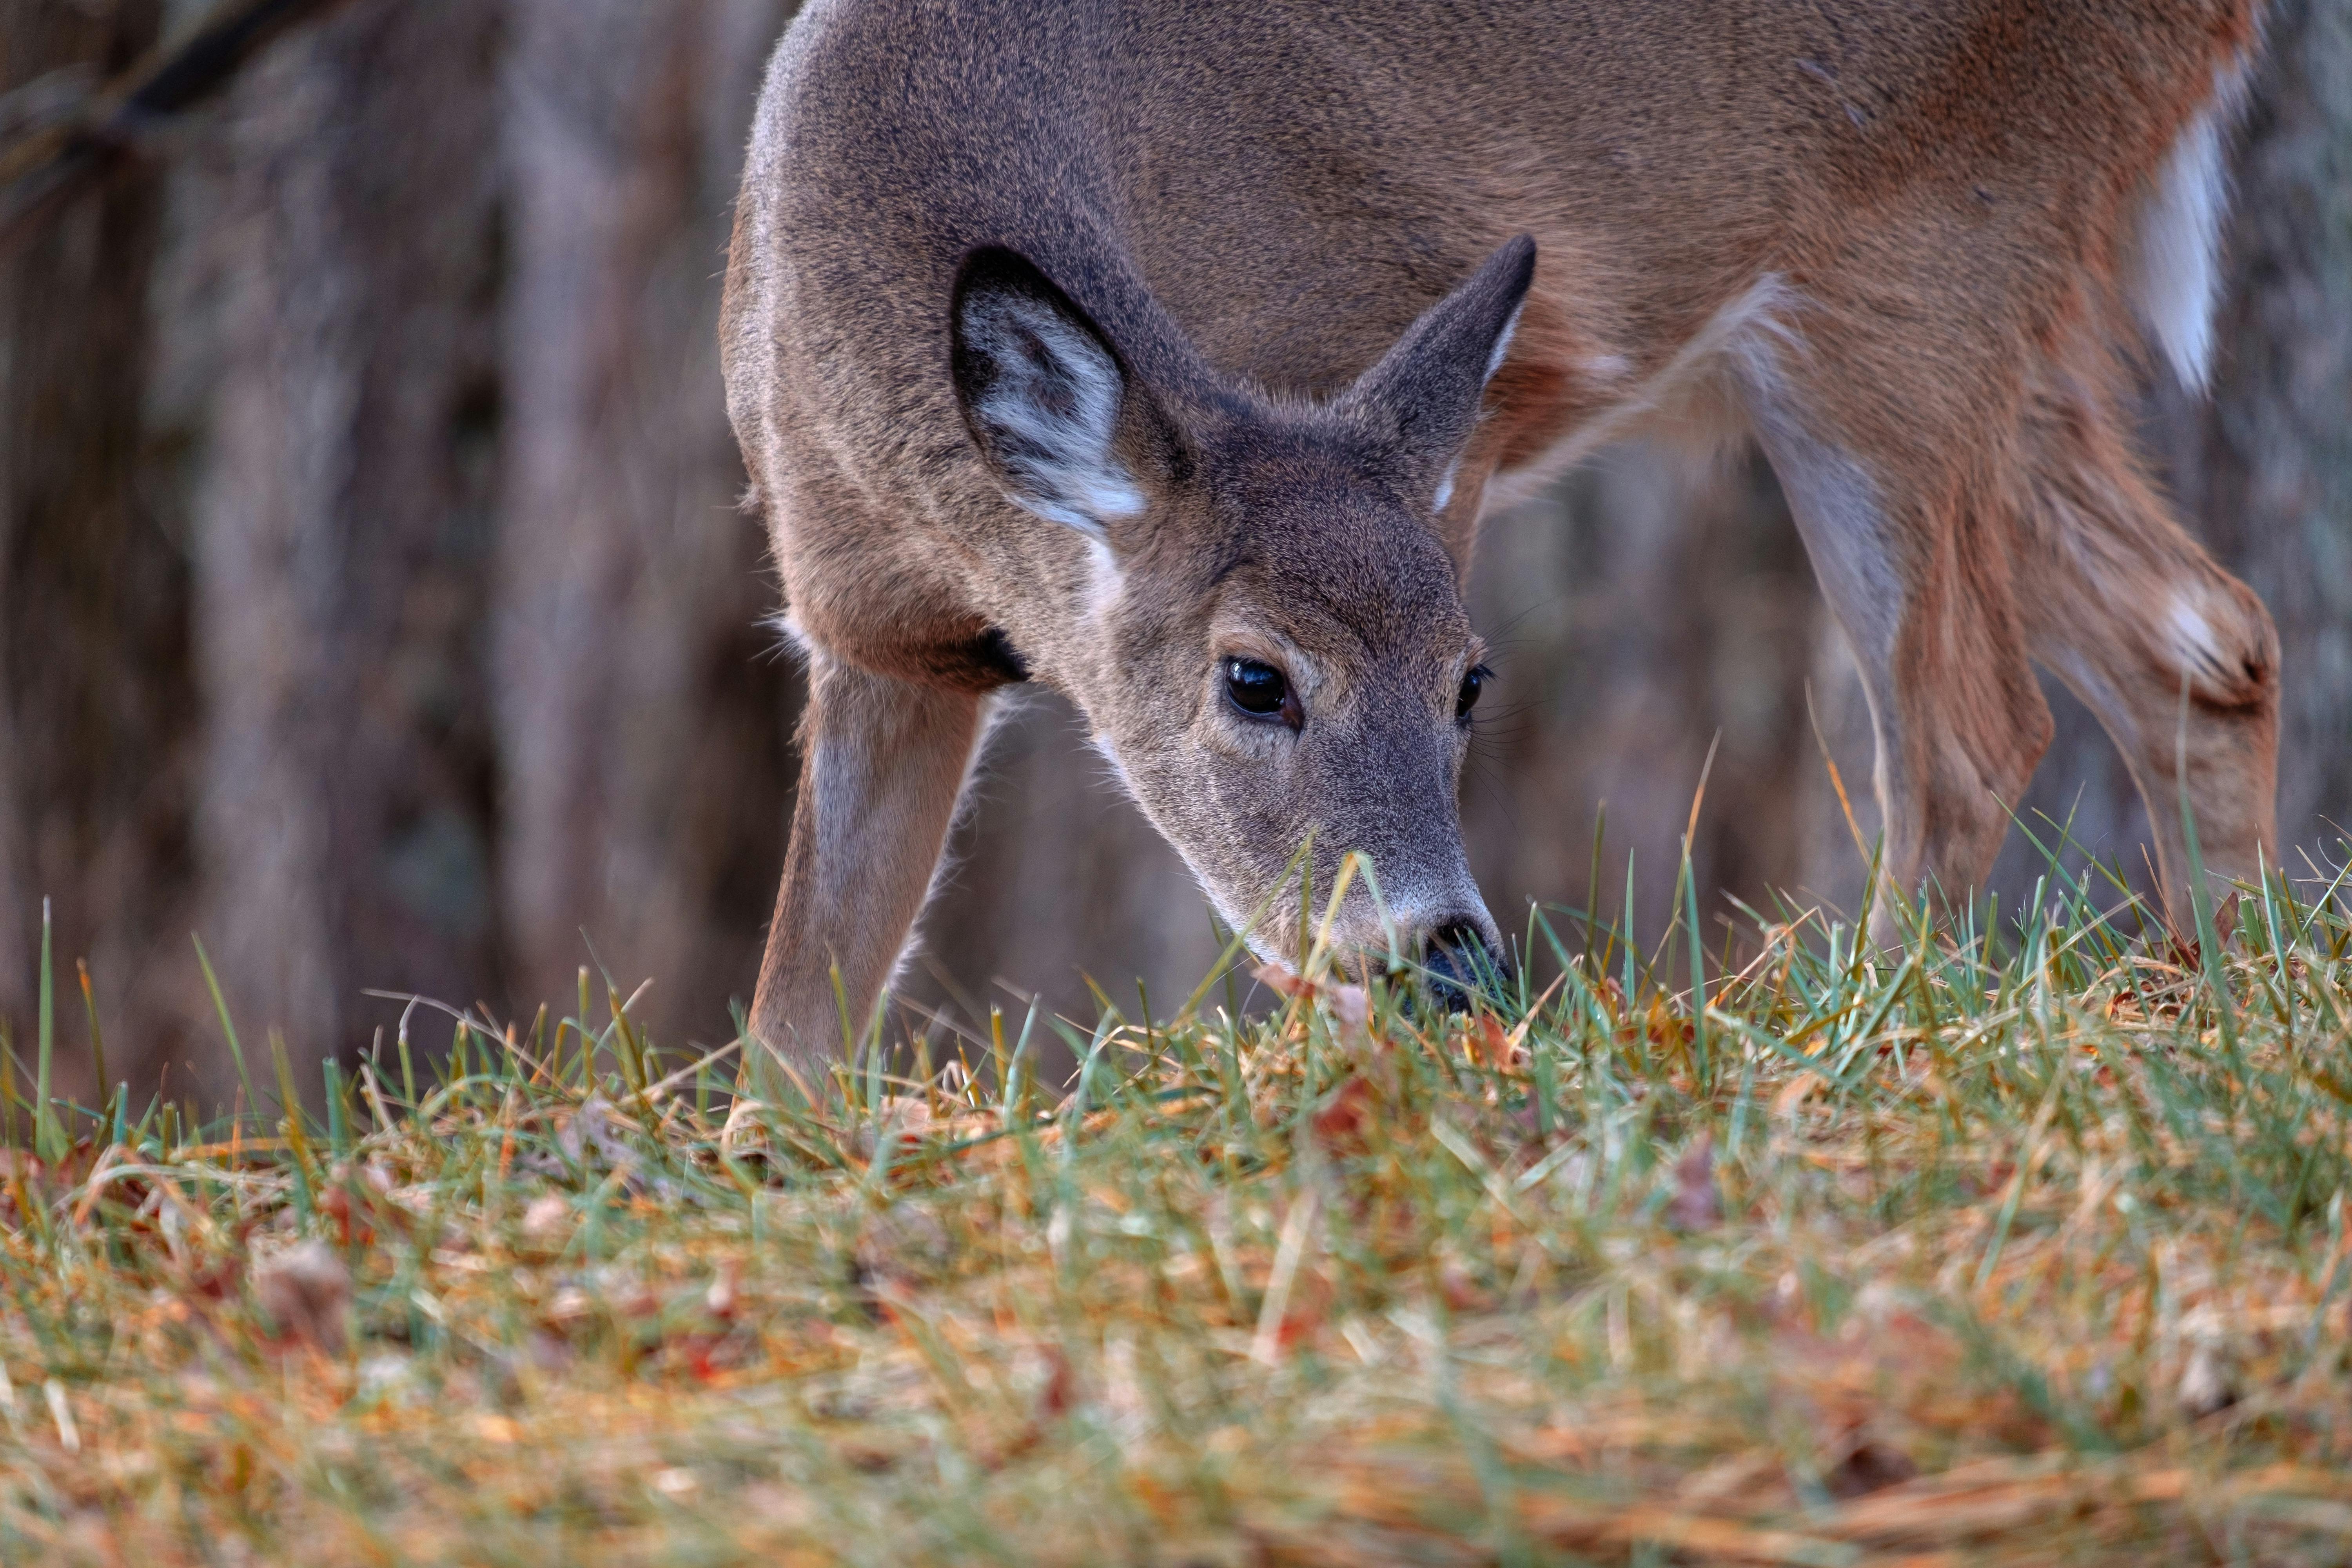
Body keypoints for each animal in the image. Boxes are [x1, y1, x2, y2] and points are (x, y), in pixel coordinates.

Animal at [720, 0, 2278, 1072]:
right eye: (1253, 677)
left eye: (1469, 681)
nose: (1450, 957)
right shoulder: (872, 635)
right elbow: (797, 1010)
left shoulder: (1434, 400)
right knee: (2208, 636)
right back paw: (2221, 989)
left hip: (1914, 275)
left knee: (1973, 723)